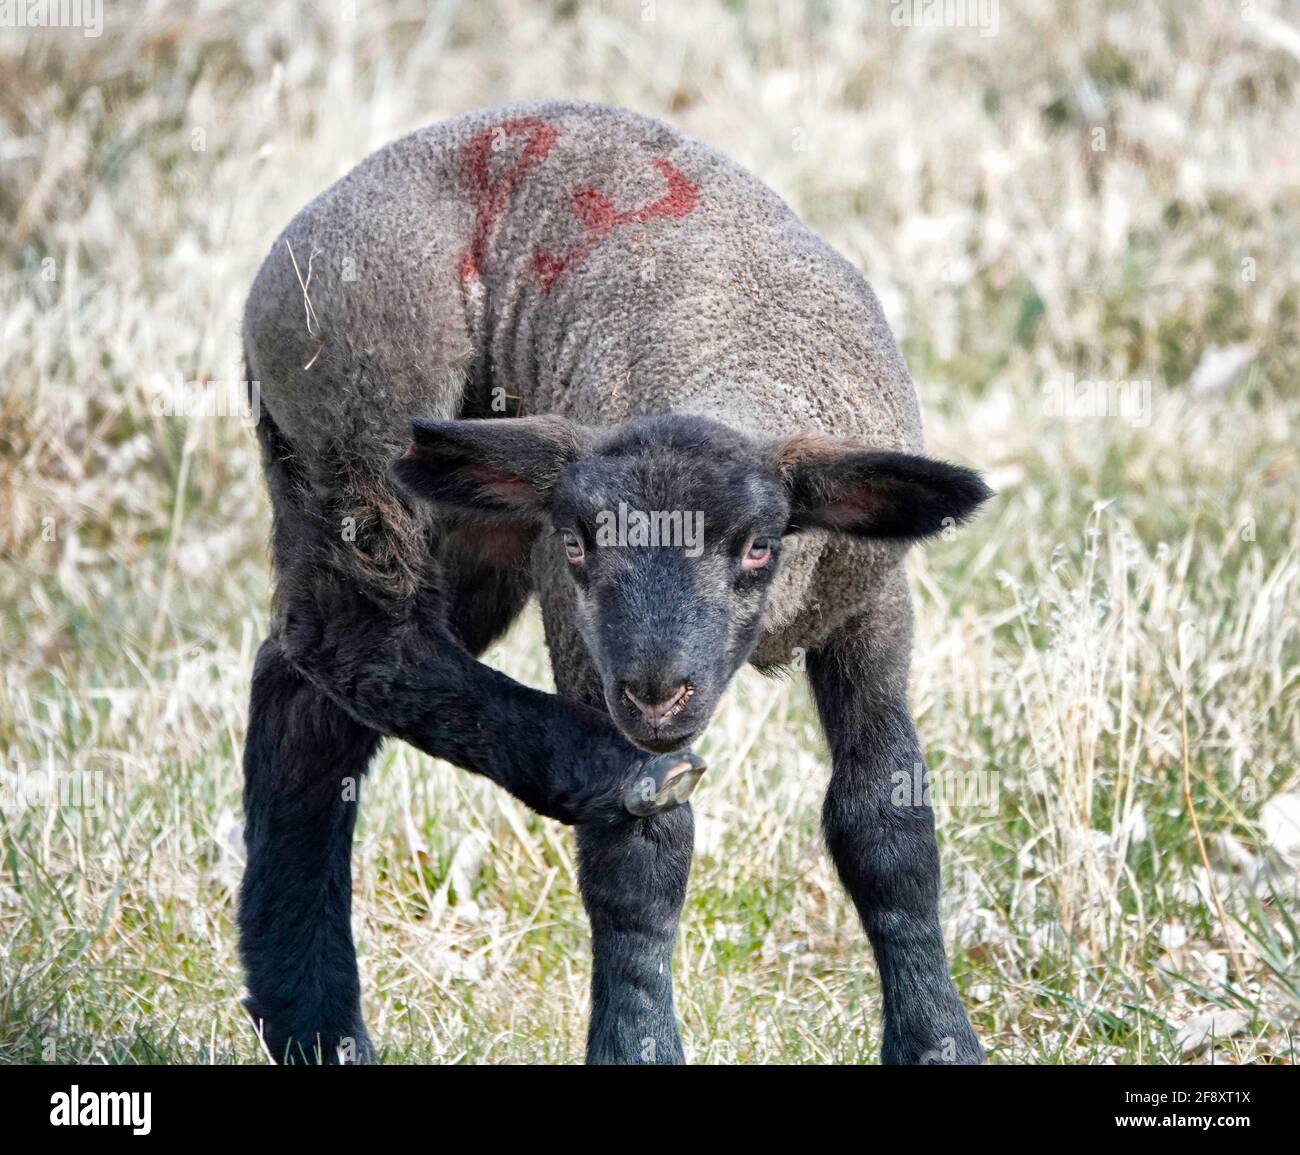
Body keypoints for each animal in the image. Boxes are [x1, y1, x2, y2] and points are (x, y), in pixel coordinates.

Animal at [239, 99, 991, 1066]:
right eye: (581, 541)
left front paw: (938, 1039)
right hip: (363, 429)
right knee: (362, 642)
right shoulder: (579, 623)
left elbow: (886, 823)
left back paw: (311, 1021)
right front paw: (637, 1040)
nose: (656, 693)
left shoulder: (870, 606)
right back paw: (594, 772)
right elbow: (639, 863)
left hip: (459, 504)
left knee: (306, 696)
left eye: (759, 546)